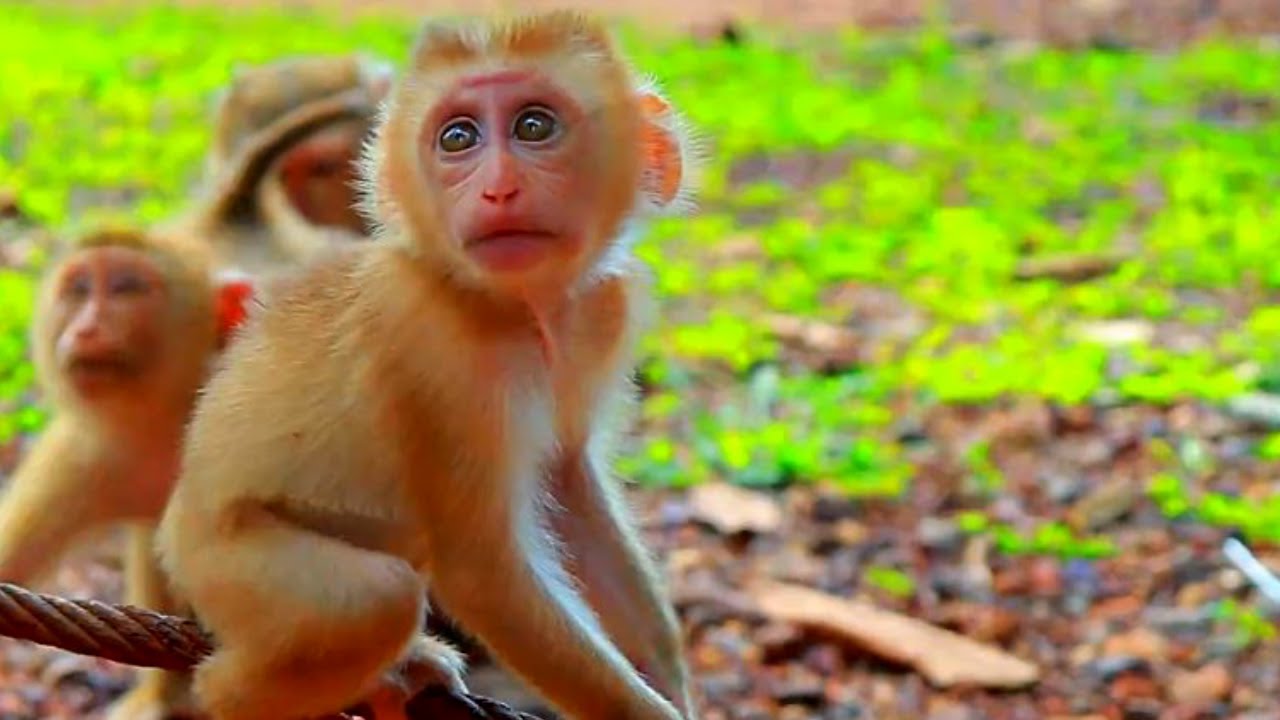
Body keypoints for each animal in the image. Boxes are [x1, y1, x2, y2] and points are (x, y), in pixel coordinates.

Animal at [154, 10, 701, 720]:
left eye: (534, 126)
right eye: (457, 138)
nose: (499, 189)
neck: (520, 309)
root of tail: (178, 524)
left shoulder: (605, 310)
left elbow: (568, 483)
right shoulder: (432, 342)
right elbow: (484, 573)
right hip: (226, 563)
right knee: (371, 603)